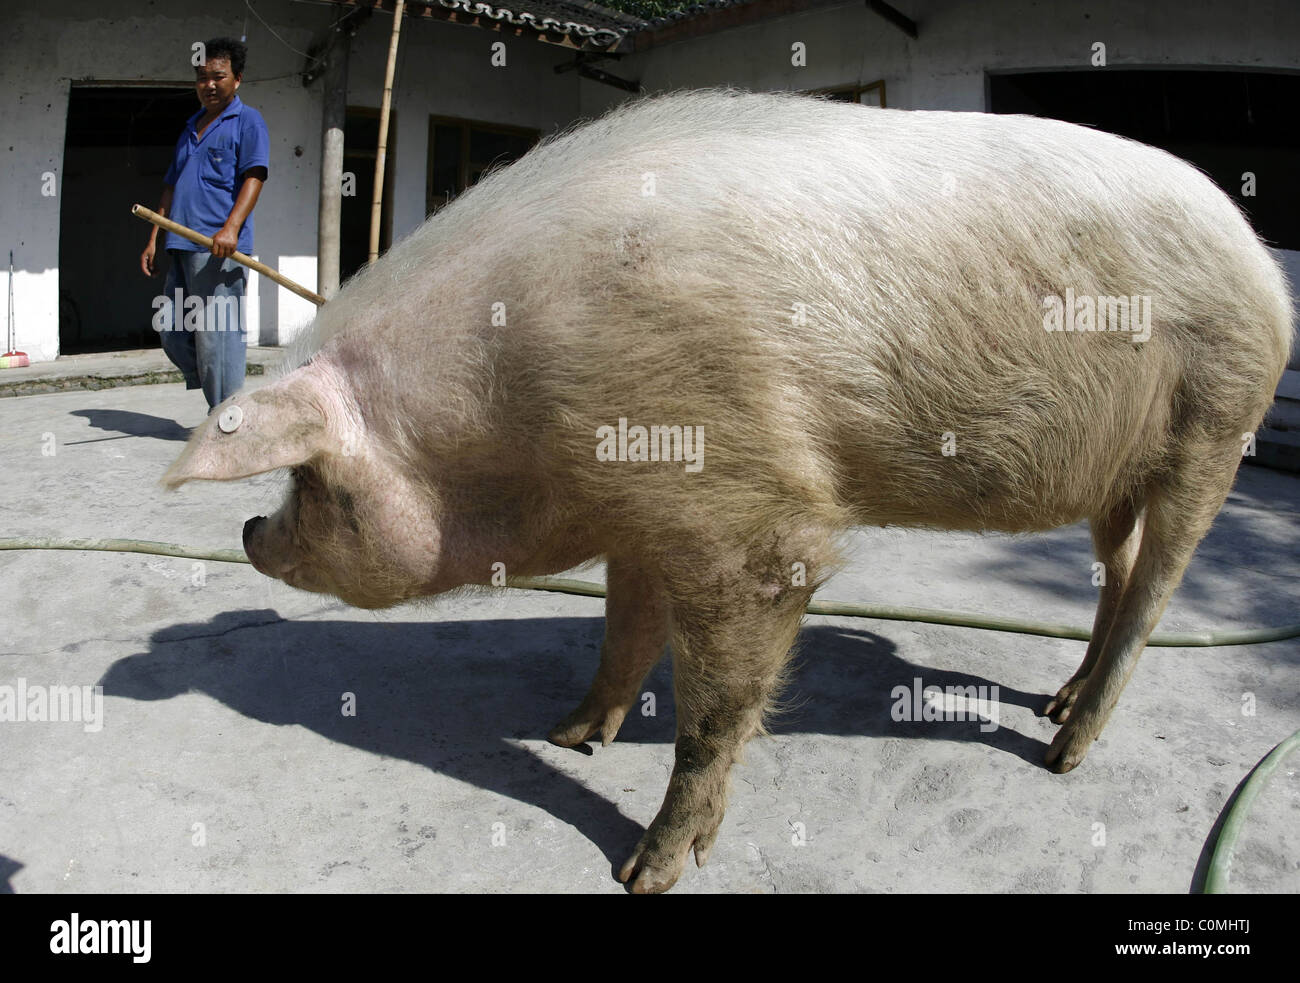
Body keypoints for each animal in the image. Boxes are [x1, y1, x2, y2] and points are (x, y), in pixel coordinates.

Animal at [162, 88, 1293, 893]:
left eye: (310, 479)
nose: (251, 527)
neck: (509, 406)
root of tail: (1262, 263)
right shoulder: (641, 507)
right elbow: (623, 628)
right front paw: (571, 732)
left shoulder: (747, 513)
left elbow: (718, 703)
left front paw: (642, 874)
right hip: (1120, 471)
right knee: (1117, 571)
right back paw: (1057, 699)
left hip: (1217, 419)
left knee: (1157, 587)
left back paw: (1062, 752)